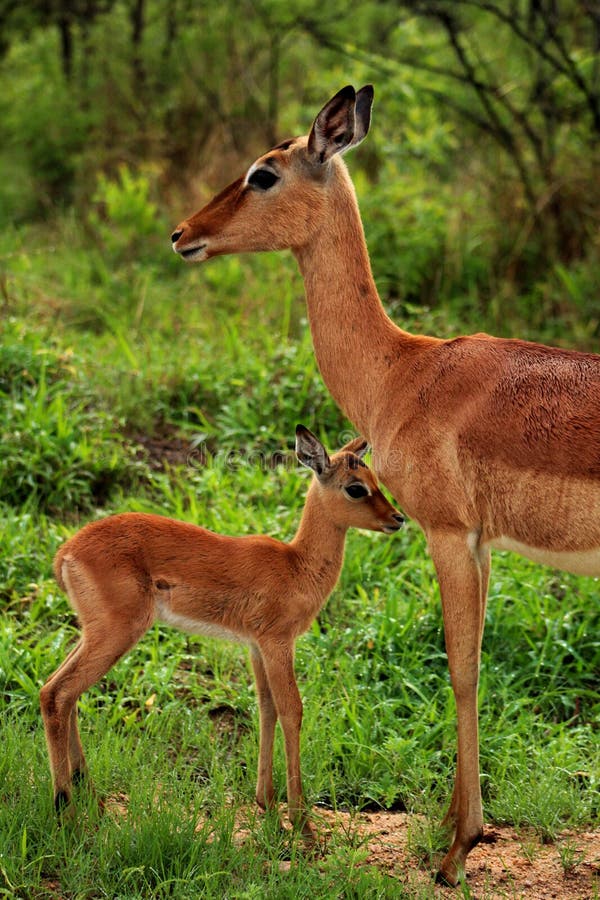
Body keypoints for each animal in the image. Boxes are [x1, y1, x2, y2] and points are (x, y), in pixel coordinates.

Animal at [41, 425, 403, 838]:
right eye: (356, 487)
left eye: (376, 480)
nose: (397, 518)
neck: (297, 566)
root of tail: (66, 552)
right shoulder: (278, 643)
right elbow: (292, 710)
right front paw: (301, 822)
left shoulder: (256, 647)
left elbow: (266, 708)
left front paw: (267, 804)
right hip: (117, 632)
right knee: (57, 693)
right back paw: (67, 811)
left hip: (94, 632)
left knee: (63, 693)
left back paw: (93, 801)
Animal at [171, 85, 600, 885]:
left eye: (263, 173)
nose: (184, 233)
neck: (404, 368)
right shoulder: (482, 545)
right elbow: (474, 662)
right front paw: (454, 830)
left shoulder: (447, 533)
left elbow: (462, 670)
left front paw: (458, 849)